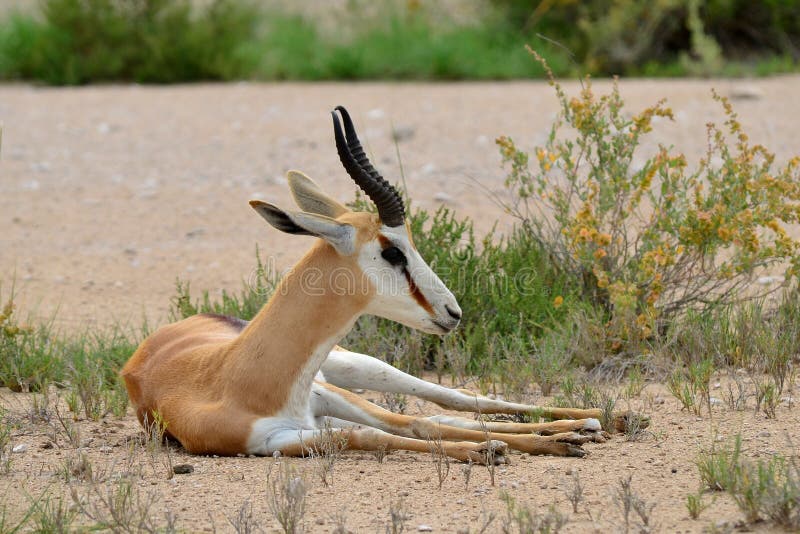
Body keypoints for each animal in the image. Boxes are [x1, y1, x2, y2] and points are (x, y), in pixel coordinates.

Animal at [122, 106, 636, 464]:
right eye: (392, 251)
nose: (453, 312)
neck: (237, 378)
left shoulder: (326, 394)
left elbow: (416, 421)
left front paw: (555, 440)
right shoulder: (273, 440)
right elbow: (389, 433)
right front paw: (491, 451)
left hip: (354, 366)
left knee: (453, 399)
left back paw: (598, 420)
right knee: (445, 411)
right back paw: (579, 429)